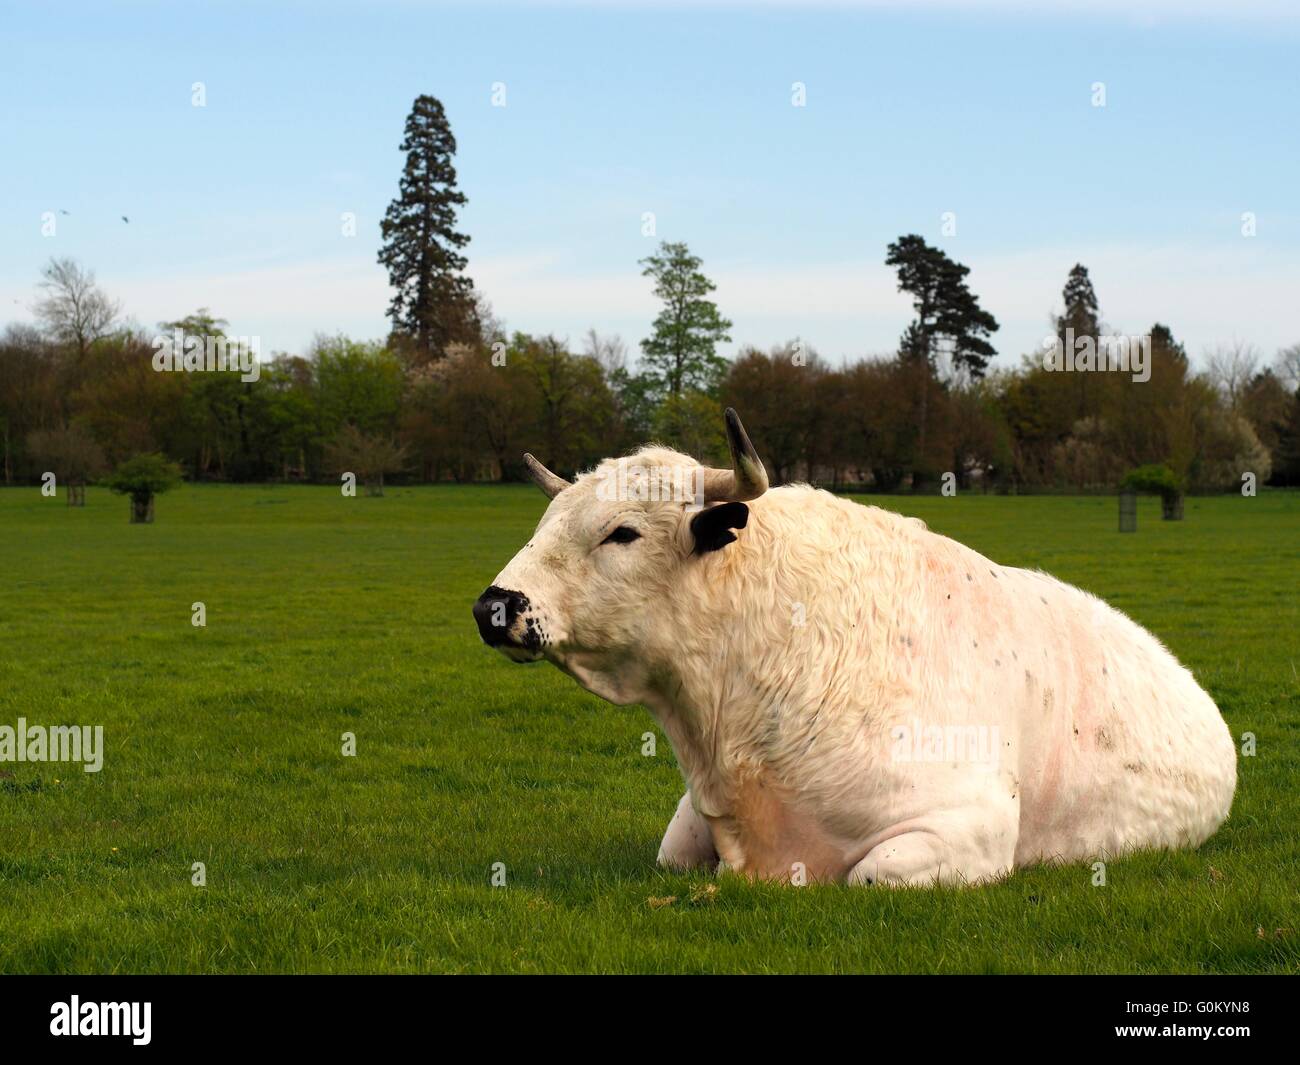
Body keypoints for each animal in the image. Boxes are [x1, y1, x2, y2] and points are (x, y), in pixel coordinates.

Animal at [472, 409, 1237, 886]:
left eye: (623, 532)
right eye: (548, 521)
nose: (494, 606)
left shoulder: (969, 824)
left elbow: (871, 872)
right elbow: (672, 855)